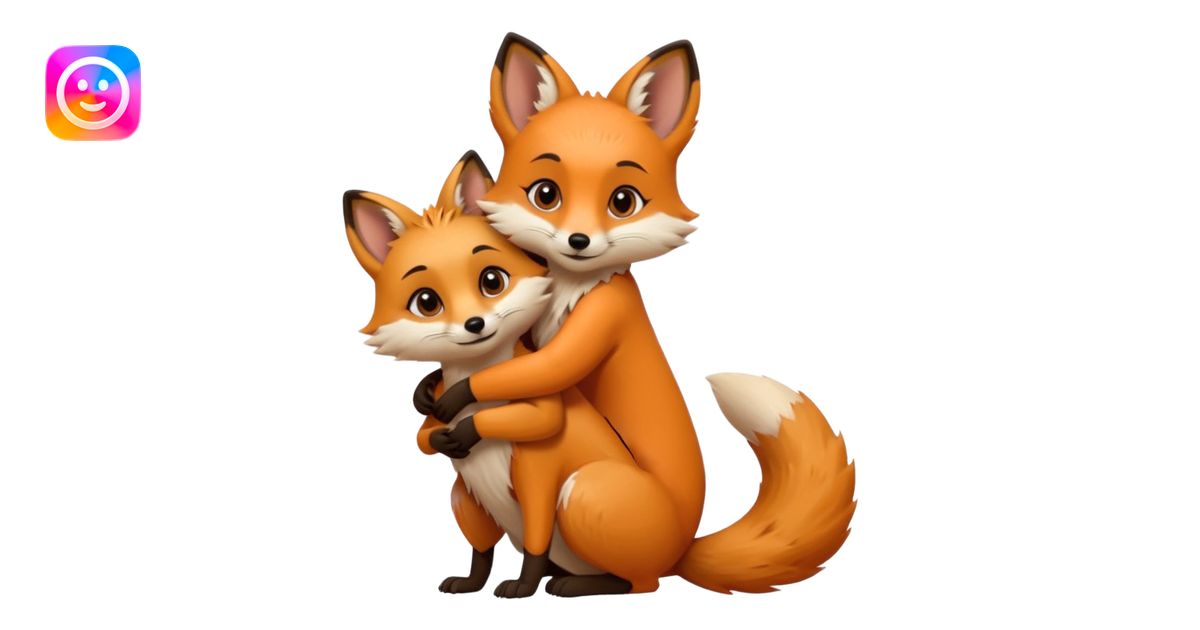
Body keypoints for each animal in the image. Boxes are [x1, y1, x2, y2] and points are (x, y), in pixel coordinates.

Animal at [344, 152, 682, 597]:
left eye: (492, 280)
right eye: (427, 302)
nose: (474, 324)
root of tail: (677, 552)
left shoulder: (537, 474)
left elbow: (542, 426)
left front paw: (523, 587)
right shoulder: (470, 485)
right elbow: (427, 445)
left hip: (583, 493)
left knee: (641, 584)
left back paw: (577, 585)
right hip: (461, 496)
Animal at [417, 34, 858, 595]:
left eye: (622, 201)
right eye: (545, 194)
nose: (578, 241)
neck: (571, 289)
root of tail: (683, 549)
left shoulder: (604, 316)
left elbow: (551, 370)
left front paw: (454, 400)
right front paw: (429, 389)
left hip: (585, 494)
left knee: (642, 584)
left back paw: (579, 585)